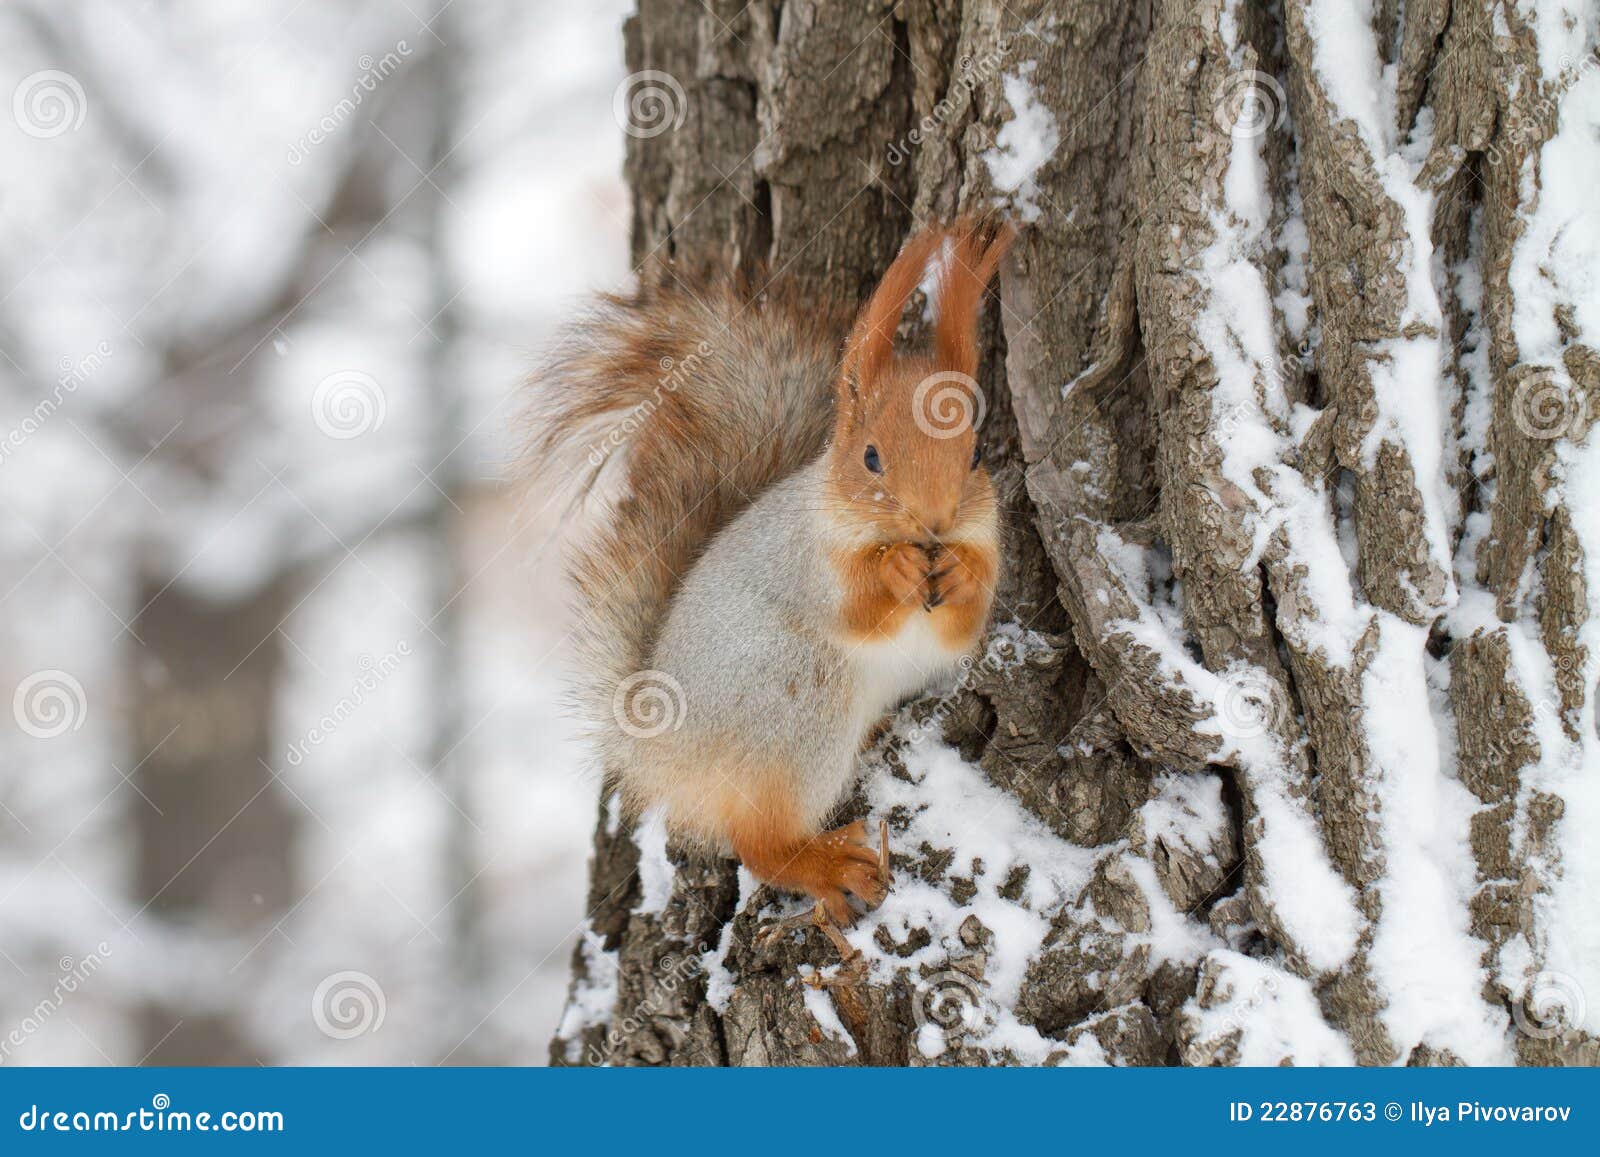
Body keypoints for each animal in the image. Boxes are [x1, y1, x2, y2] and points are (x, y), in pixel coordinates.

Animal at [528, 218, 1012, 924]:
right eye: (870, 457)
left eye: (976, 454)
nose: (934, 522)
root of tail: (664, 752)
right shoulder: (808, 562)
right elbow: (856, 608)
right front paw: (895, 570)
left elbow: (965, 623)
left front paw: (958, 571)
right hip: (794, 695)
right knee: (757, 844)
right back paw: (826, 864)